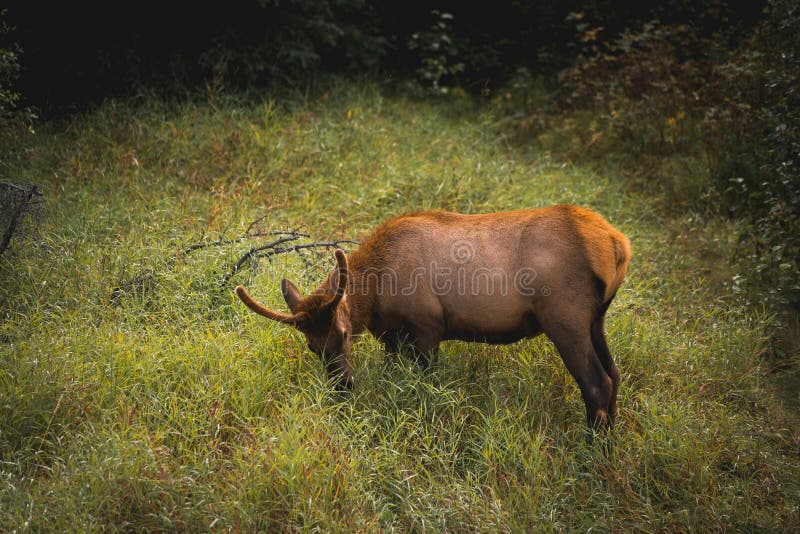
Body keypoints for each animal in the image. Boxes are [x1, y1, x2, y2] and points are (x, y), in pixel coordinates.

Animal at [235, 205, 631, 437]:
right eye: (311, 346)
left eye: (344, 334)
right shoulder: (393, 337)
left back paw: (591, 448)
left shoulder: (427, 328)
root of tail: (618, 245)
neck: (377, 295)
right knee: (614, 374)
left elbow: (425, 389)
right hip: (596, 320)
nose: (342, 385)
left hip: (566, 318)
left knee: (597, 383)